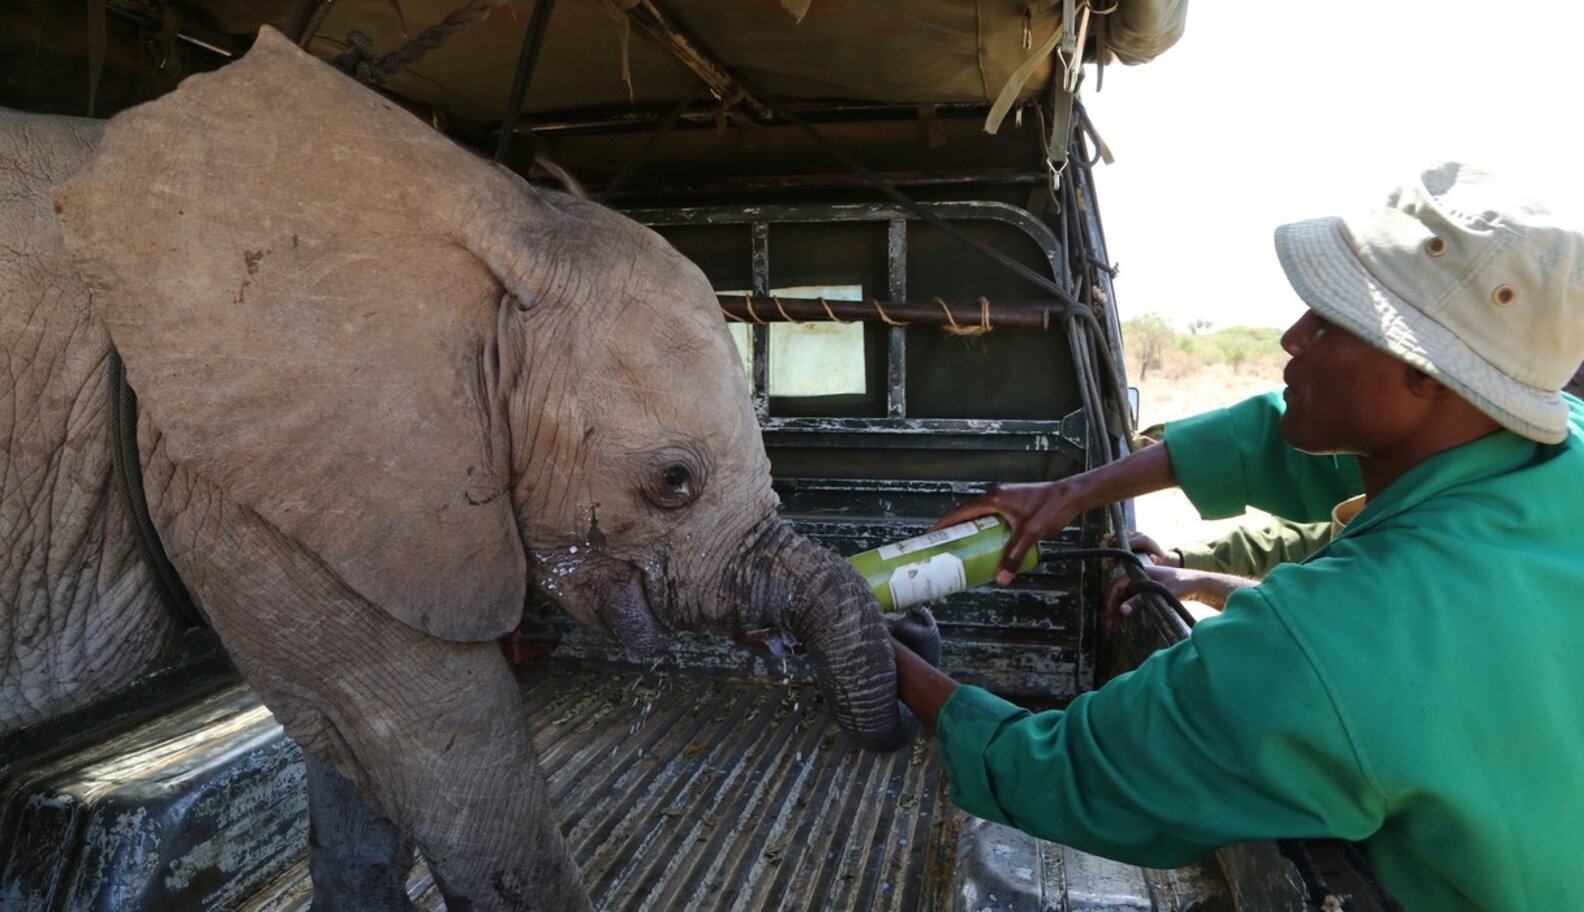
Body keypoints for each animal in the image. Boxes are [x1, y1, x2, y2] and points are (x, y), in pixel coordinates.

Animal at [0, 27, 934, 911]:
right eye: (674, 481)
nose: (917, 635)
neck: (494, 210)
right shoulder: (241, 468)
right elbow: (440, 752)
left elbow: (352, 756)